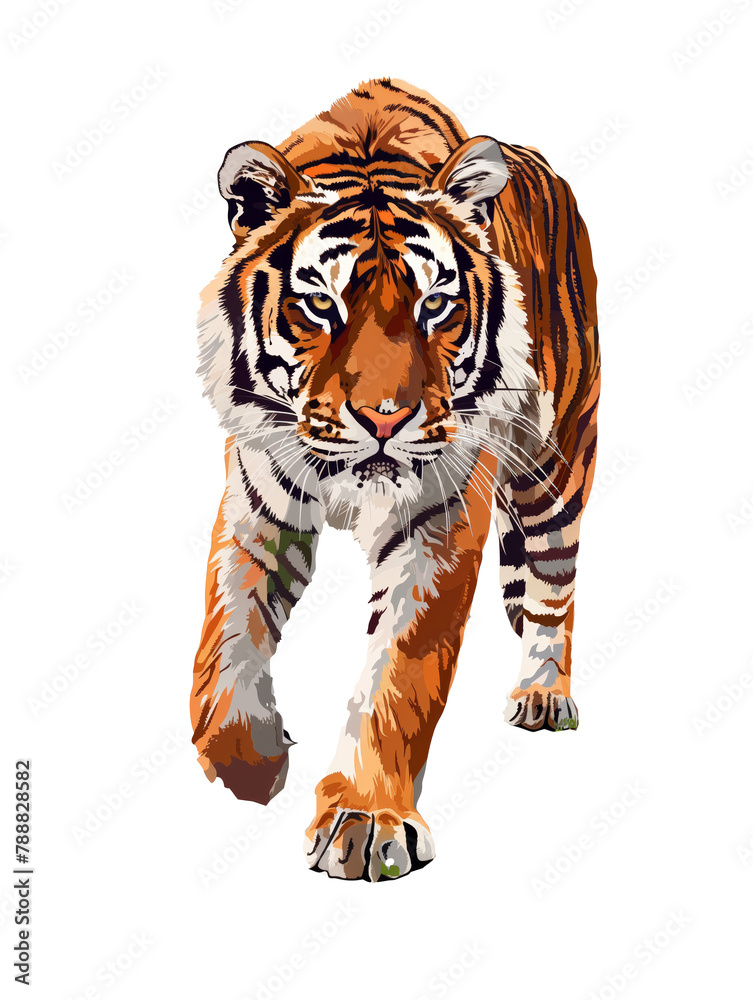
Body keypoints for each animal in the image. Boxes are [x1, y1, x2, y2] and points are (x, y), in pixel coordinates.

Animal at [191, 78, 600, 882]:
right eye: (320, 303)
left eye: (434, 304)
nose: (386, 419)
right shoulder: (258, 508)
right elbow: (225, 645)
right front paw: (253, 767)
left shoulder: (438, 523)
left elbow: (399, 677)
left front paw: (367, 820)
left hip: (555, 466)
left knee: (552, 591)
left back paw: (542, 696)